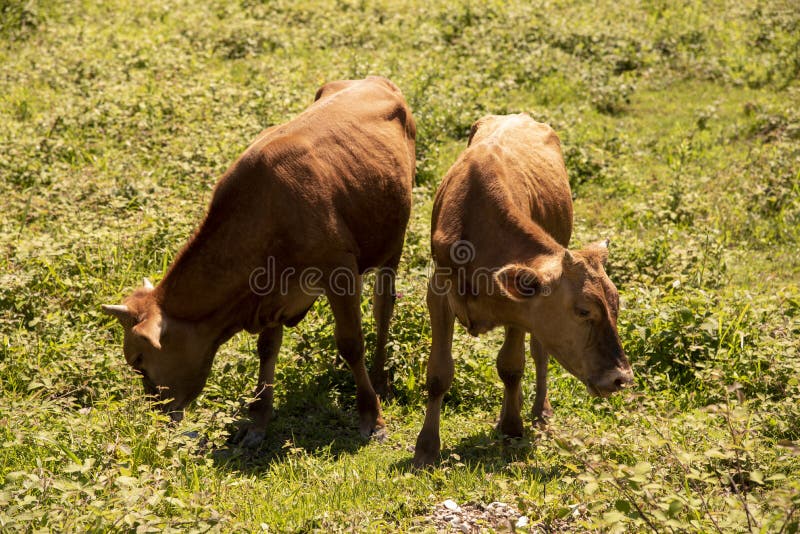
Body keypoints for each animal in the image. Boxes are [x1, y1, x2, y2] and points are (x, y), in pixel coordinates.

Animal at [102, 76, 416, 446]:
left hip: (393, 240)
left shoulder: (339, 270)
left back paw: (379, 377)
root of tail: (374, 80)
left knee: (383, 307)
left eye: (139, 360)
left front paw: (372, 417)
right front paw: (257, 422)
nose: (157, 418)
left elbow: (351, 343)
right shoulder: (271, 293)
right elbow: (267, 349)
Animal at [413, 113, 633, 466]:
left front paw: (513, 427)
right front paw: (426, 447)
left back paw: (539, 411)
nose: (621, 377)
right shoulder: (438, 295)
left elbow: (511, 366)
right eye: (583, 311)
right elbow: (438, 373)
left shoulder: (521, 309)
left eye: (616, 306)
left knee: (539, 352)